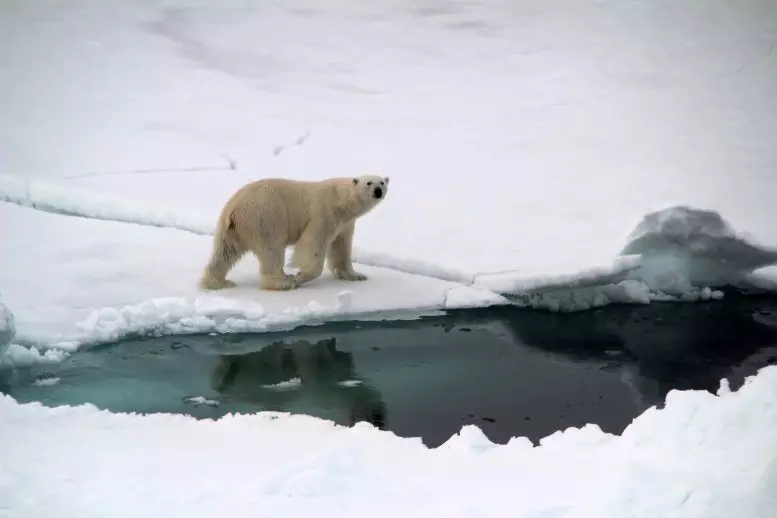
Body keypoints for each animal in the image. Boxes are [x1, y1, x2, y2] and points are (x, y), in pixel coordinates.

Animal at [200, 177, 388, 292]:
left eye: (382, 182)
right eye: (369, 183)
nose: (378, 190)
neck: (341, 199)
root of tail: (234, 208)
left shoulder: (345, 223)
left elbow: (341, 247)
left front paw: (356, 275)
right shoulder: (323, 213)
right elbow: (313, 243)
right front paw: (300, 276)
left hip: (232, 228)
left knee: (225, 252)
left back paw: (217, 282)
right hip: (266, 217)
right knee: (272, 249)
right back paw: (283, 282)